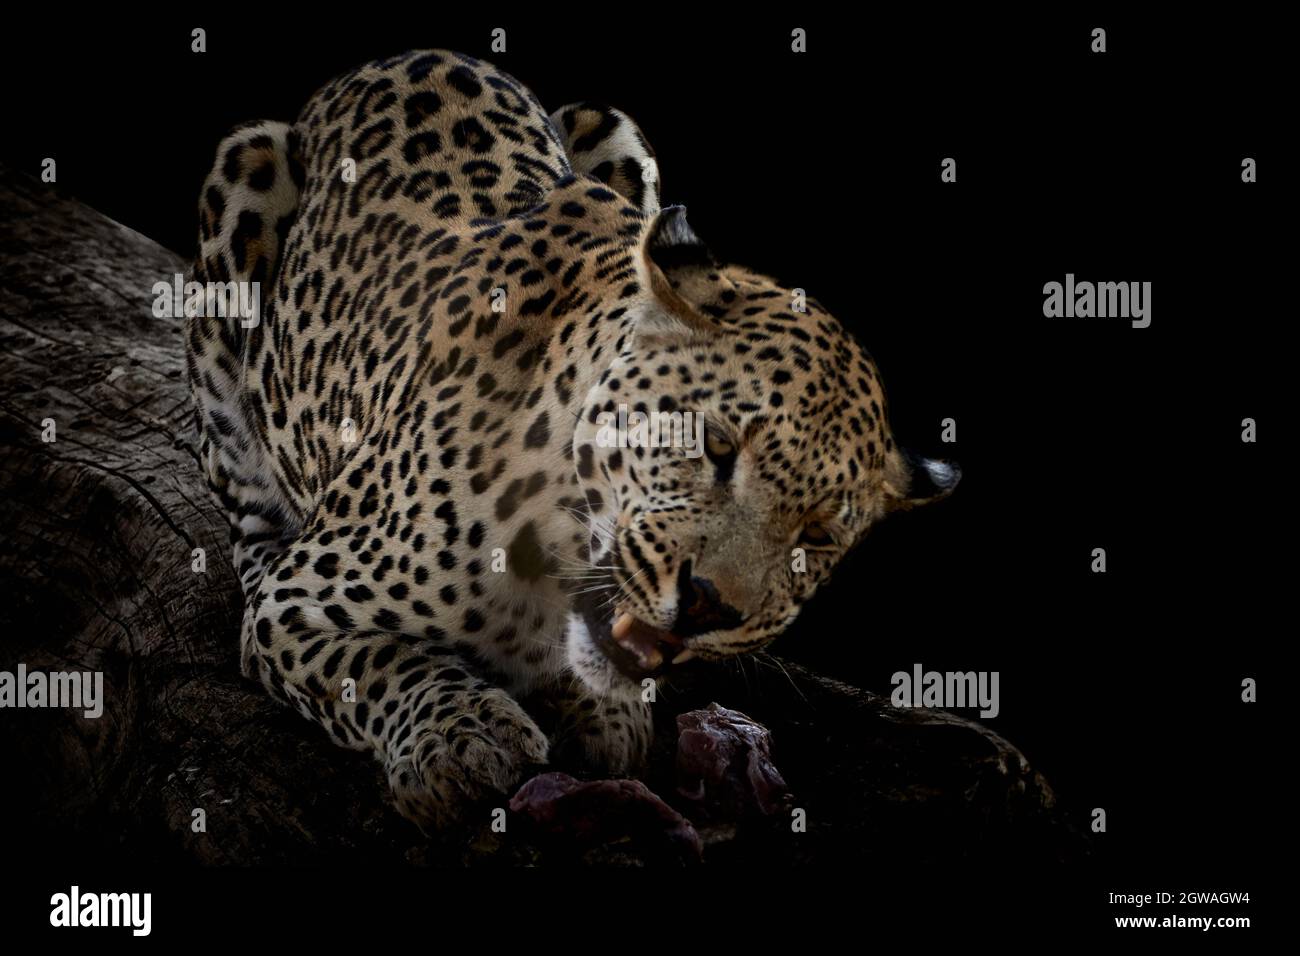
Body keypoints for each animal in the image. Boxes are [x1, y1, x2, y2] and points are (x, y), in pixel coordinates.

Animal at [185, 49, 960, 831]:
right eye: (714, 445)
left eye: (819, 536)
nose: (708, 605)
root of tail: (387, 60)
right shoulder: (294, 604)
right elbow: (373, 664)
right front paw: (460, 735)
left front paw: (598, 714)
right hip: (240, 191)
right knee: (247, 516)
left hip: (613, 129)